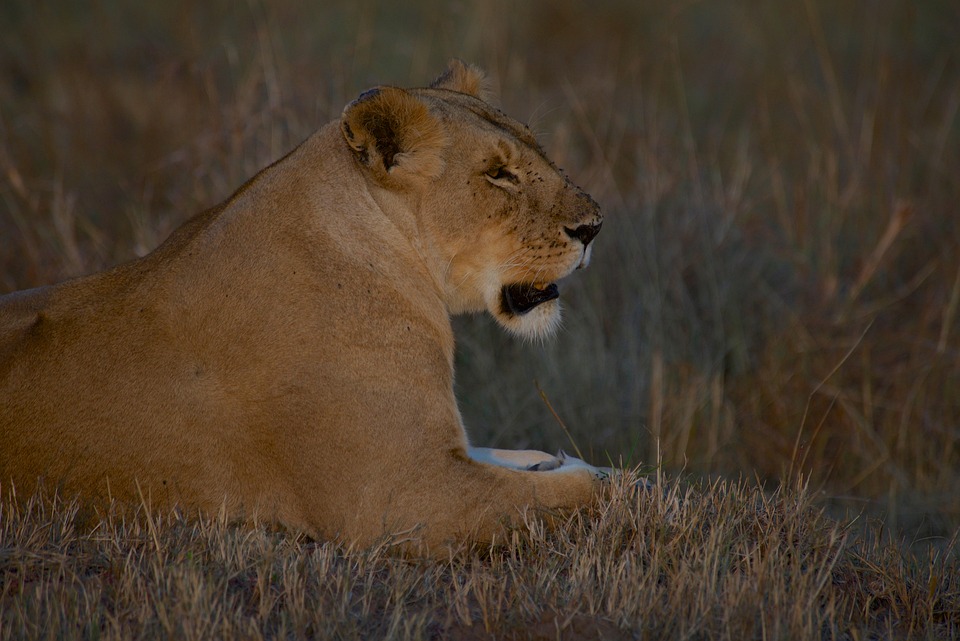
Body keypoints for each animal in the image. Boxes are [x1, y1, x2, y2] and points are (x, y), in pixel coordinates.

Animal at [0, 60, 606, 553]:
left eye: (539, 151)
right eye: (498, 174)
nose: (594, 227)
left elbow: (522, 457)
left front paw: (567, 460)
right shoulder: (404, 495)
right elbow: (578, 496)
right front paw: (605, 480)